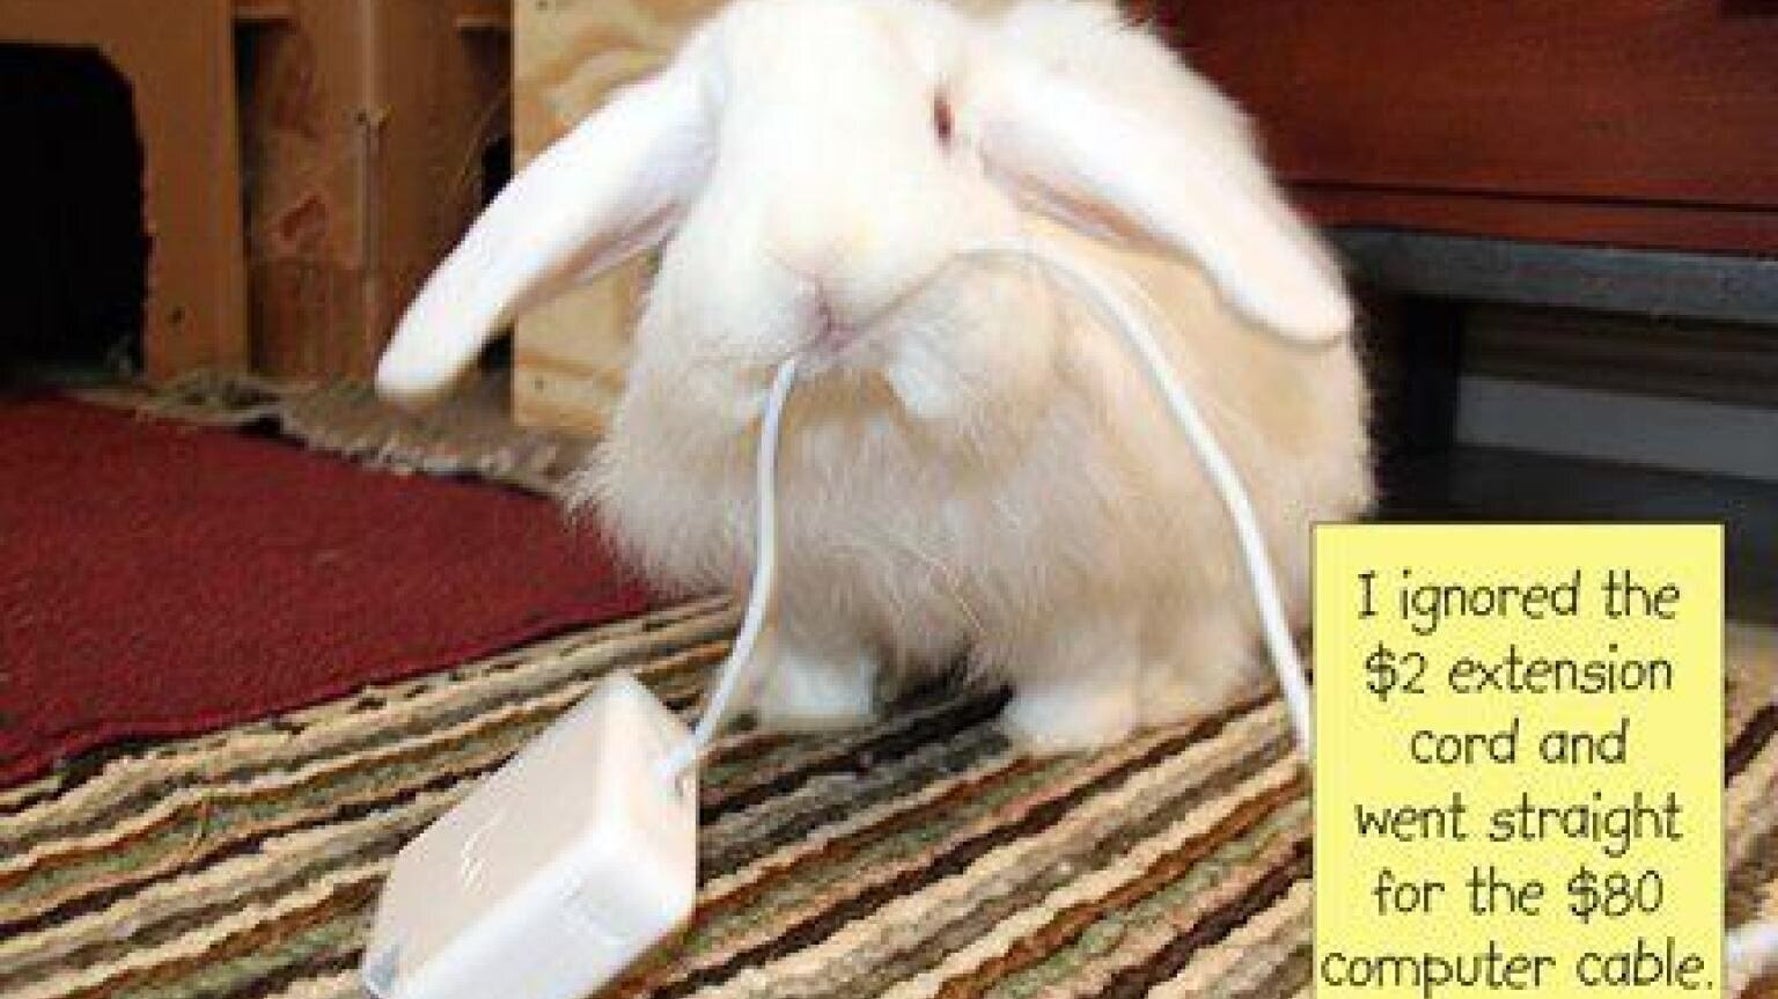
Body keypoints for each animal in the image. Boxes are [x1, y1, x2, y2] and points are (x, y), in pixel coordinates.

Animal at [375, 0, 1373, 752]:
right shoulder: (812, 583)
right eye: (722, 150)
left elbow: (1078, 662)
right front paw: (809, 717)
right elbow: (825, 658)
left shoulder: (1085, 569)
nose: (816, 256)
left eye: (942, 122)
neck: (862, 411)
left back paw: (1170, 694)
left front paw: (1059, 737)